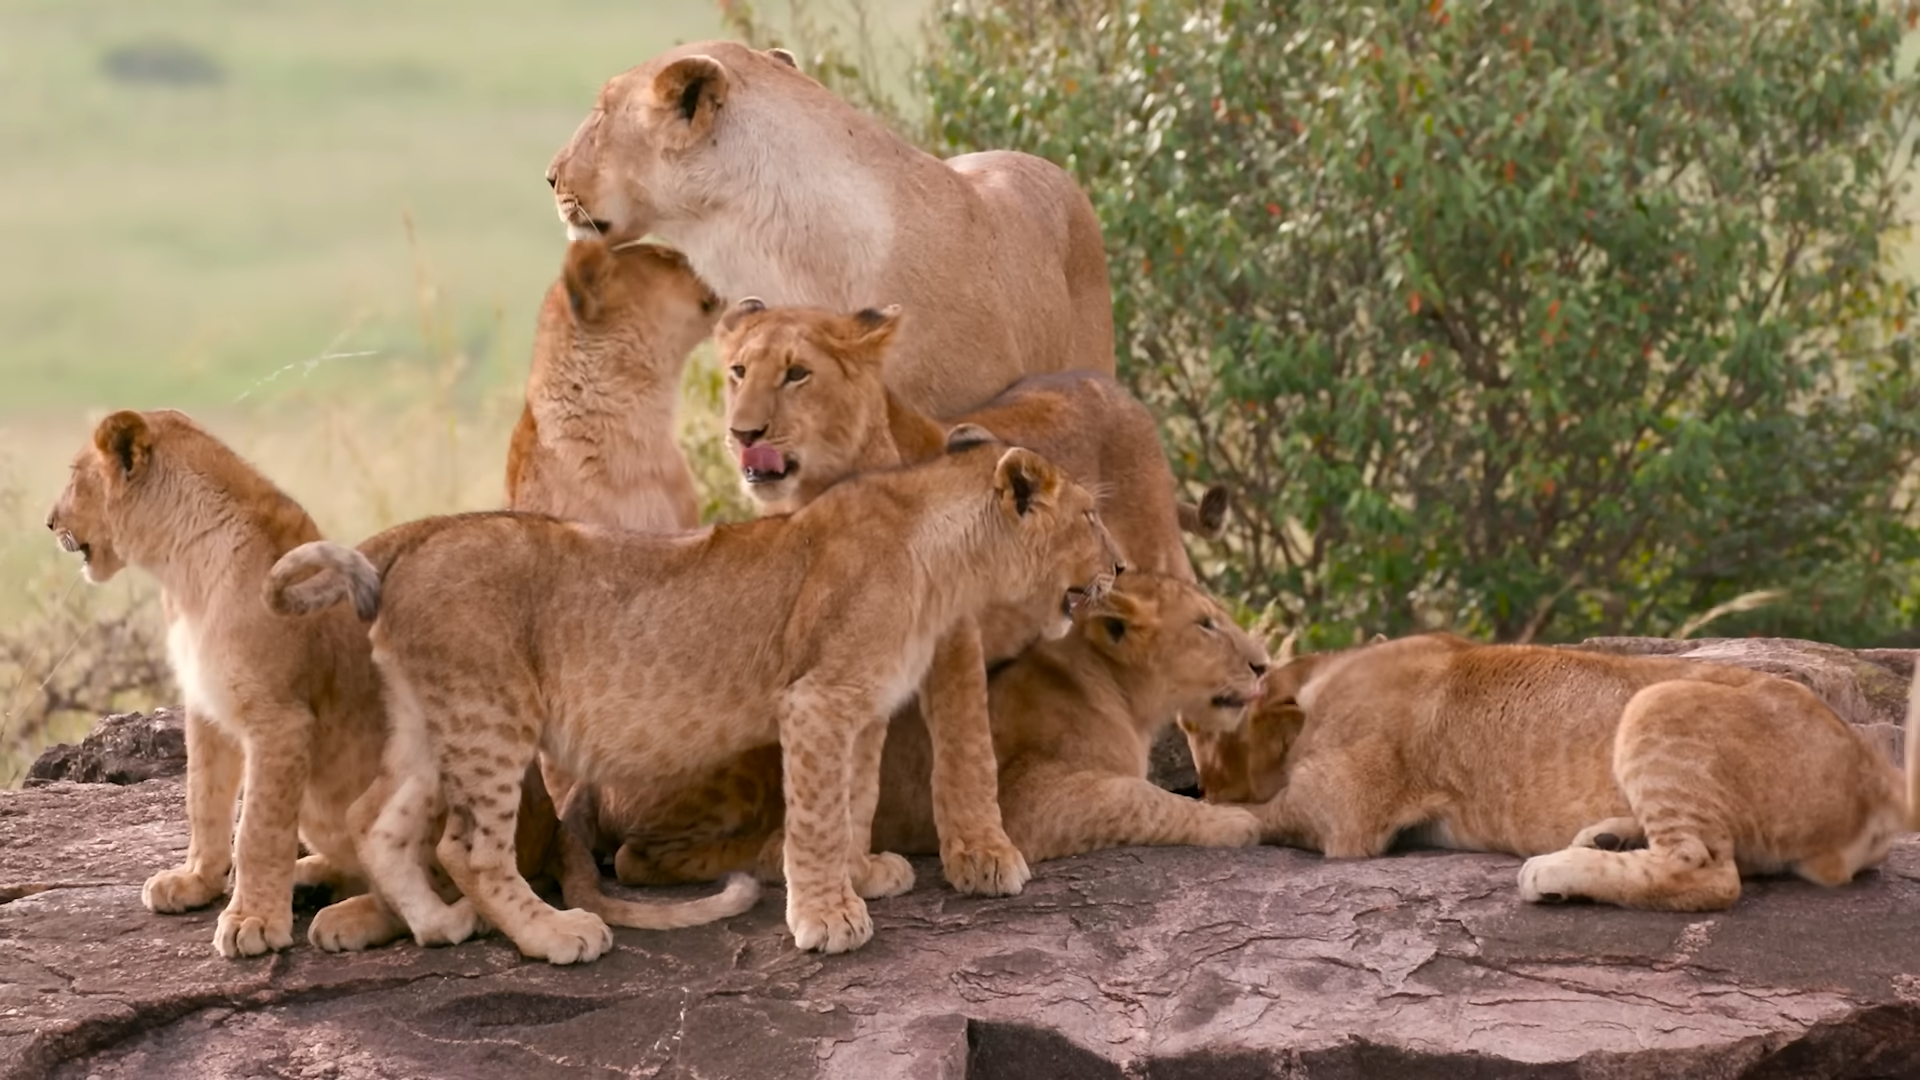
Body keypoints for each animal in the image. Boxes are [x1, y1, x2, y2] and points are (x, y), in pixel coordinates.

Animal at [268, 436, 1121, 960]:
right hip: (492, 714)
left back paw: (441, 926)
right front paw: (827, 918)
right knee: (467, 846)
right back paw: (554, 935)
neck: (945, 563)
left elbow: (854, 798)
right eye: (1090, 516)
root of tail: (419, 535)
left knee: (376, 821)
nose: (1119, 568)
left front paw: (860, 875)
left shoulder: (863, 708)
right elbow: (817, 815)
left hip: (434, 720)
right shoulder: (817, 701)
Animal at [1205, 633, 1919, 911]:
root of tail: (1872, 767)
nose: (1209, 777)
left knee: (1709, 873)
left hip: (1657, 702)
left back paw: (1553, 873)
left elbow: (1247, 813)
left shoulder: (1346, 810)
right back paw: (1608, 838)